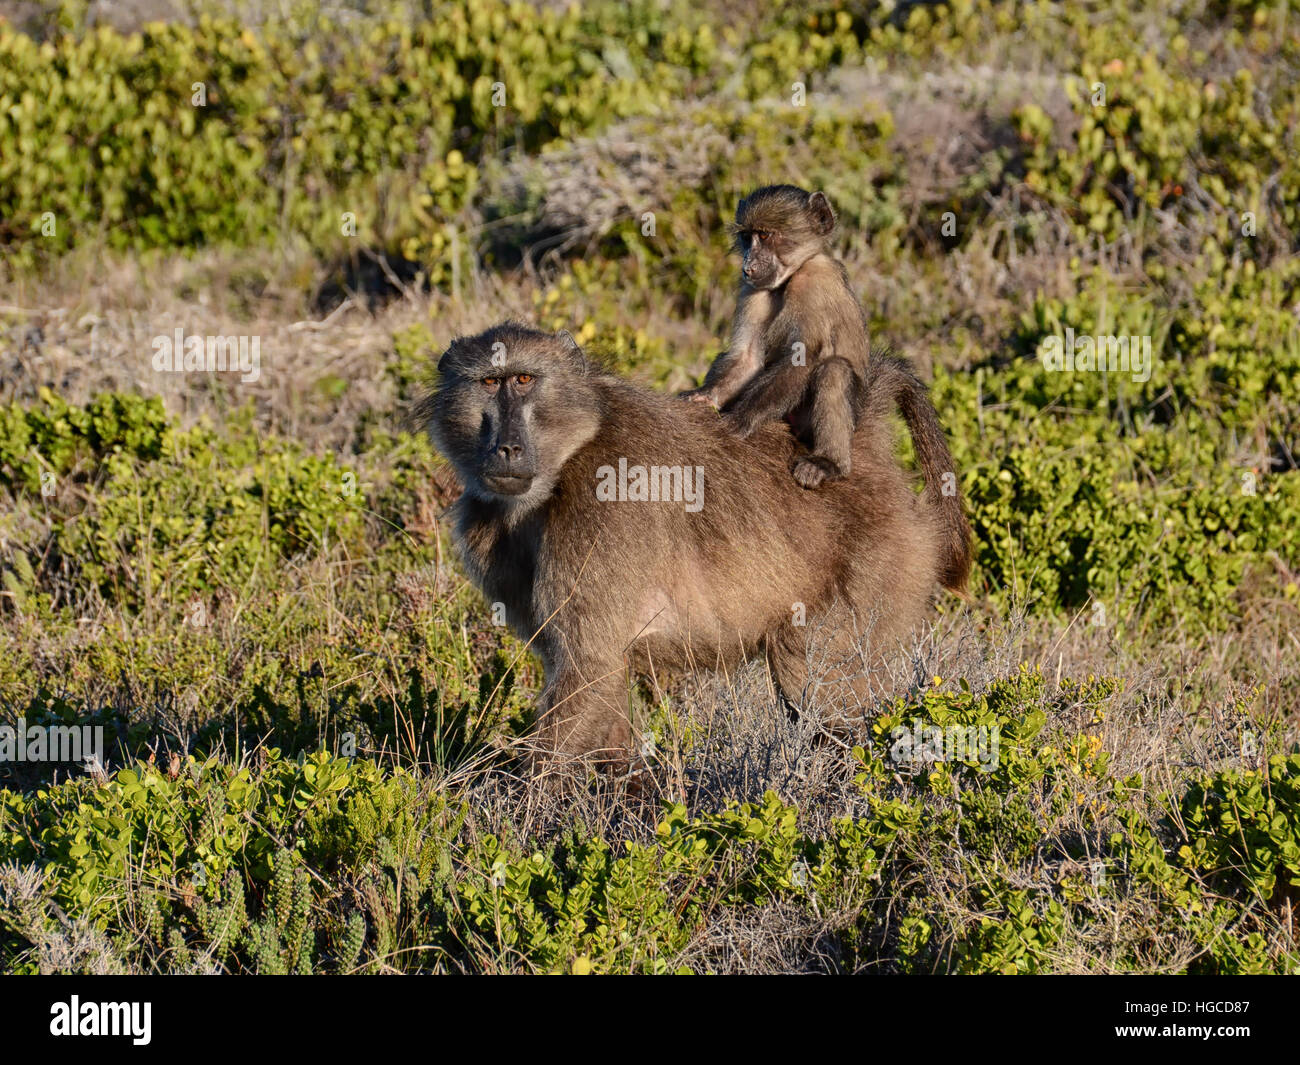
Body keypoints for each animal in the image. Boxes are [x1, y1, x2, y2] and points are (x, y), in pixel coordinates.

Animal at [421, 323, 972, 779]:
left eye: (524, 380)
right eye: (488, 384)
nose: (507, 450)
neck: (565, 462)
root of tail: (860, 450)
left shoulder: (601, 508)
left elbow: (588, 665)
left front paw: (513, 809)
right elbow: (600, 680)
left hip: (879, 566)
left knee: (810, 674)